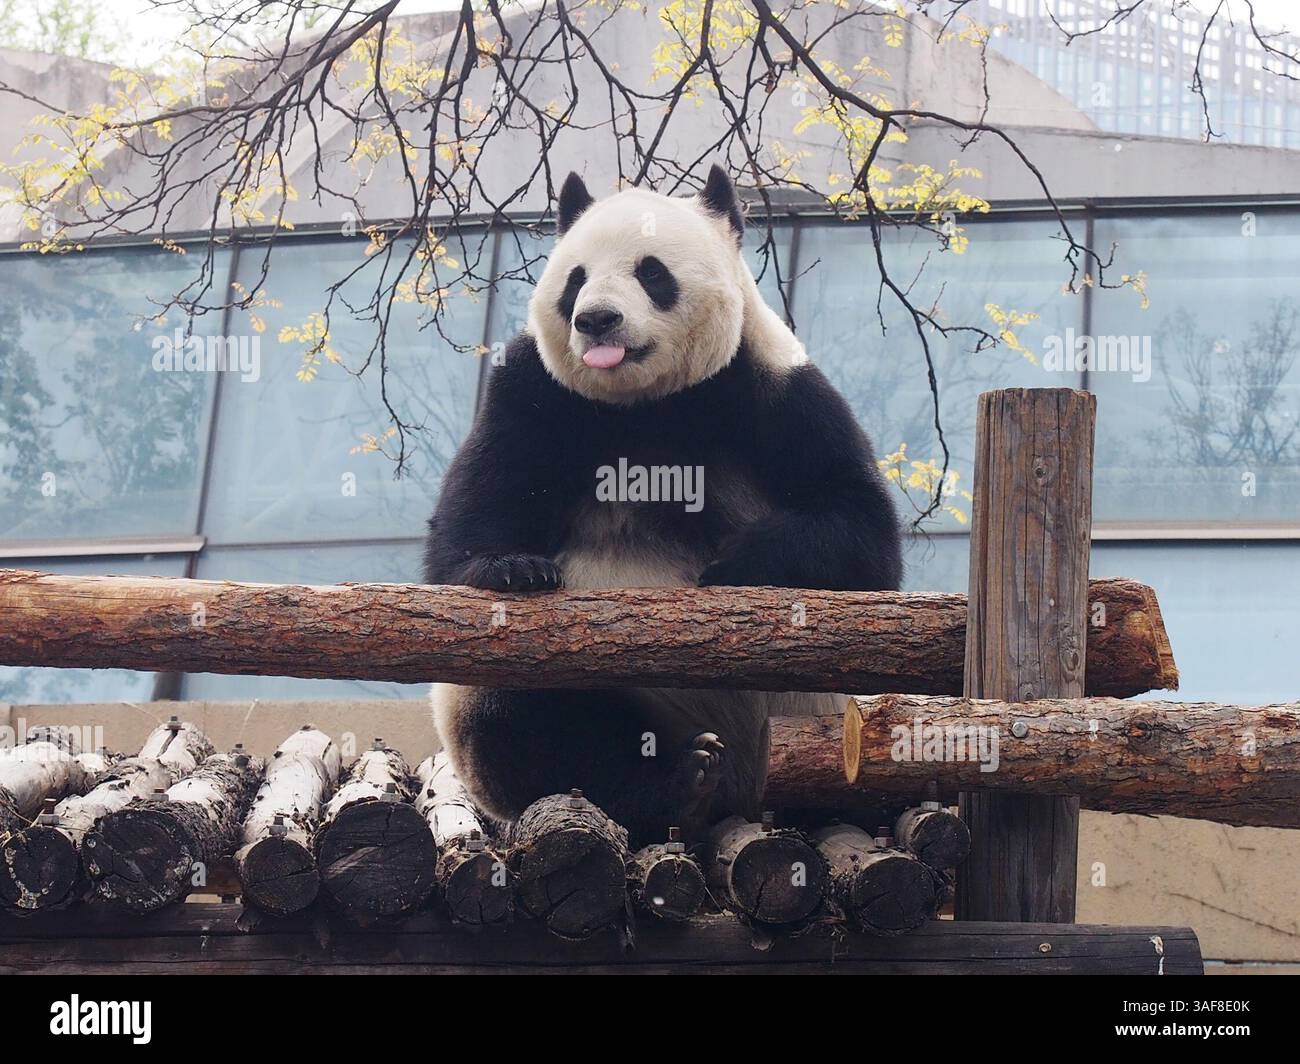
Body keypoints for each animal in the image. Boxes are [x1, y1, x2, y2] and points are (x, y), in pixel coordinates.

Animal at [424, 165, 903, 848]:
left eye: (651, 272)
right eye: (576, 279)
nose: (597, 320)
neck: (646, 404)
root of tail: (742, 790)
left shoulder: (771, 387)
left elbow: (861, 533)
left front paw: (735, 563)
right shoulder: (534, 393)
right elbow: (475, 511)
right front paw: (510, 567)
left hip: (822, 712)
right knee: (528, 724)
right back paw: (677, 784)